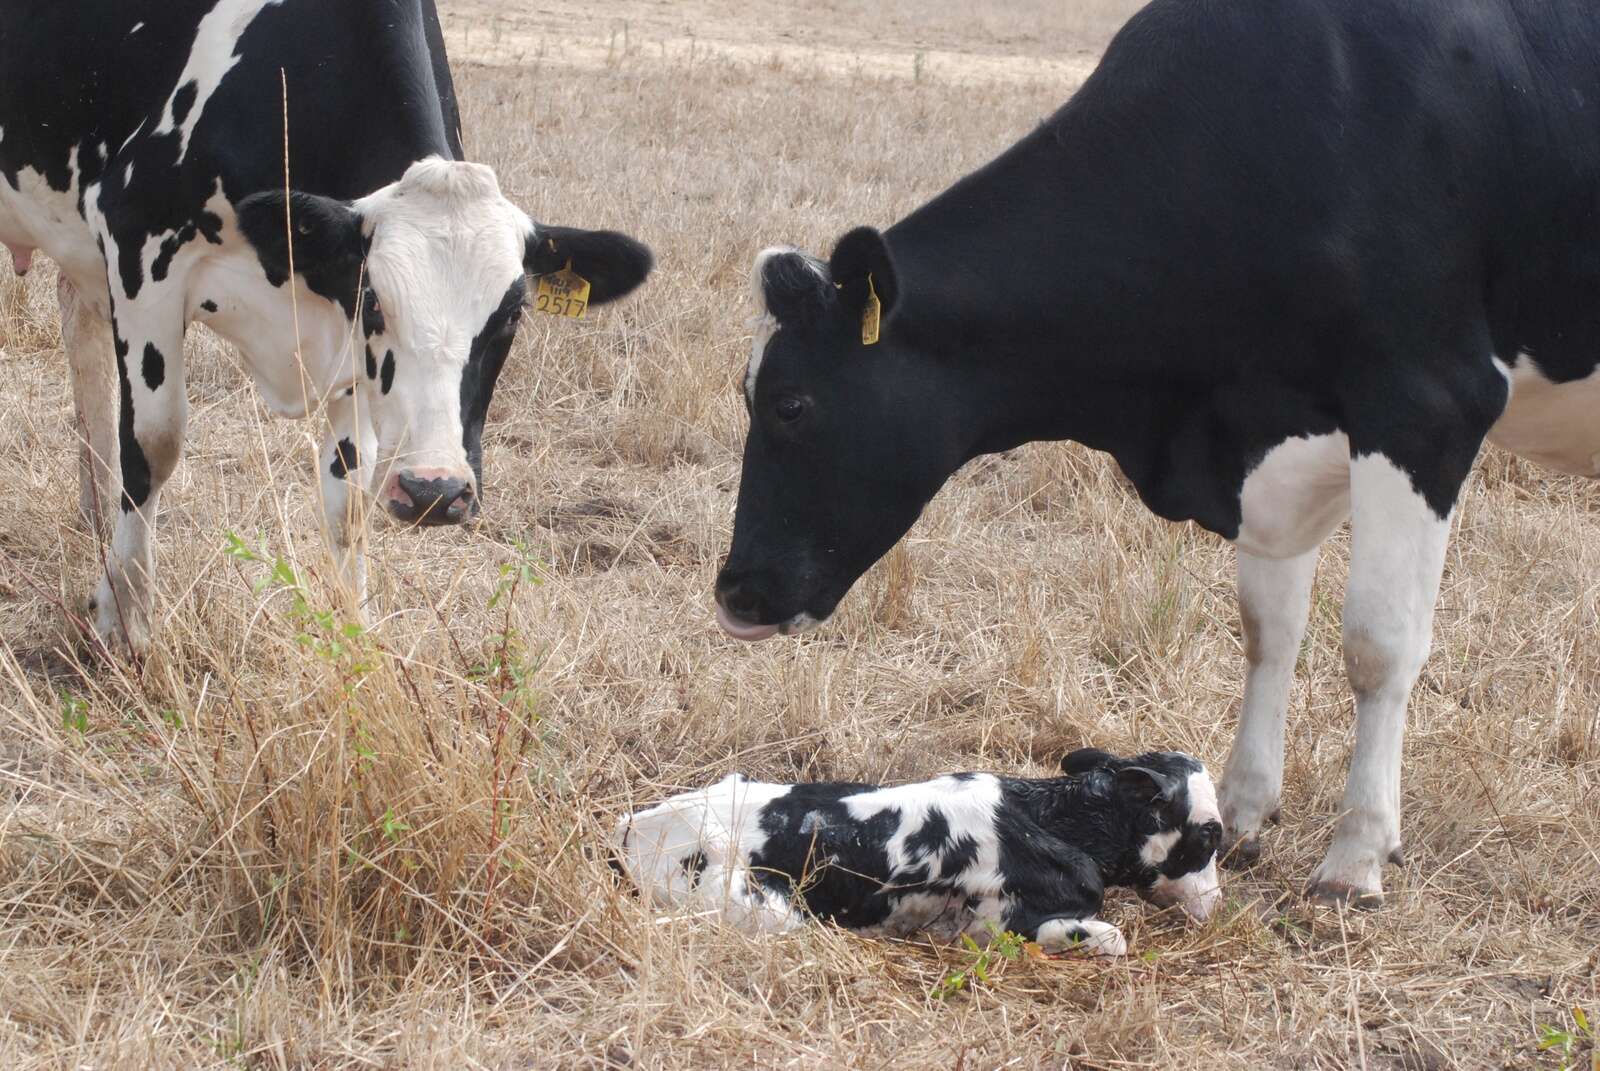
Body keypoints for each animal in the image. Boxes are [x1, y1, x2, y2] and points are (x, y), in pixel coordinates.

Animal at [0, 0, 652, 655]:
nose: (434, 491)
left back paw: (95, 512)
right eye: (374, 299)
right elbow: (154, 444)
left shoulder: (353, 357)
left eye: (513, 313)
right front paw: (126, 621)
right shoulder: (139, 245)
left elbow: (349, 499)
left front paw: (354, 633)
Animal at [615, 749, 1223, 956]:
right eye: (1209, 836)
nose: (1215, 904)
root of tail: (629, 829)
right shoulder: (998, 923)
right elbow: (1113, 938)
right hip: (769, 913)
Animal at [712, 0, 1600, 908]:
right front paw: (1241, 812)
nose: (735, 591)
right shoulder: (1273, 440)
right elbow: (1269, 628)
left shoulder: (1427, 403)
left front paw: (1355, 854)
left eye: (791, 403)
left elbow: (1378, 641)